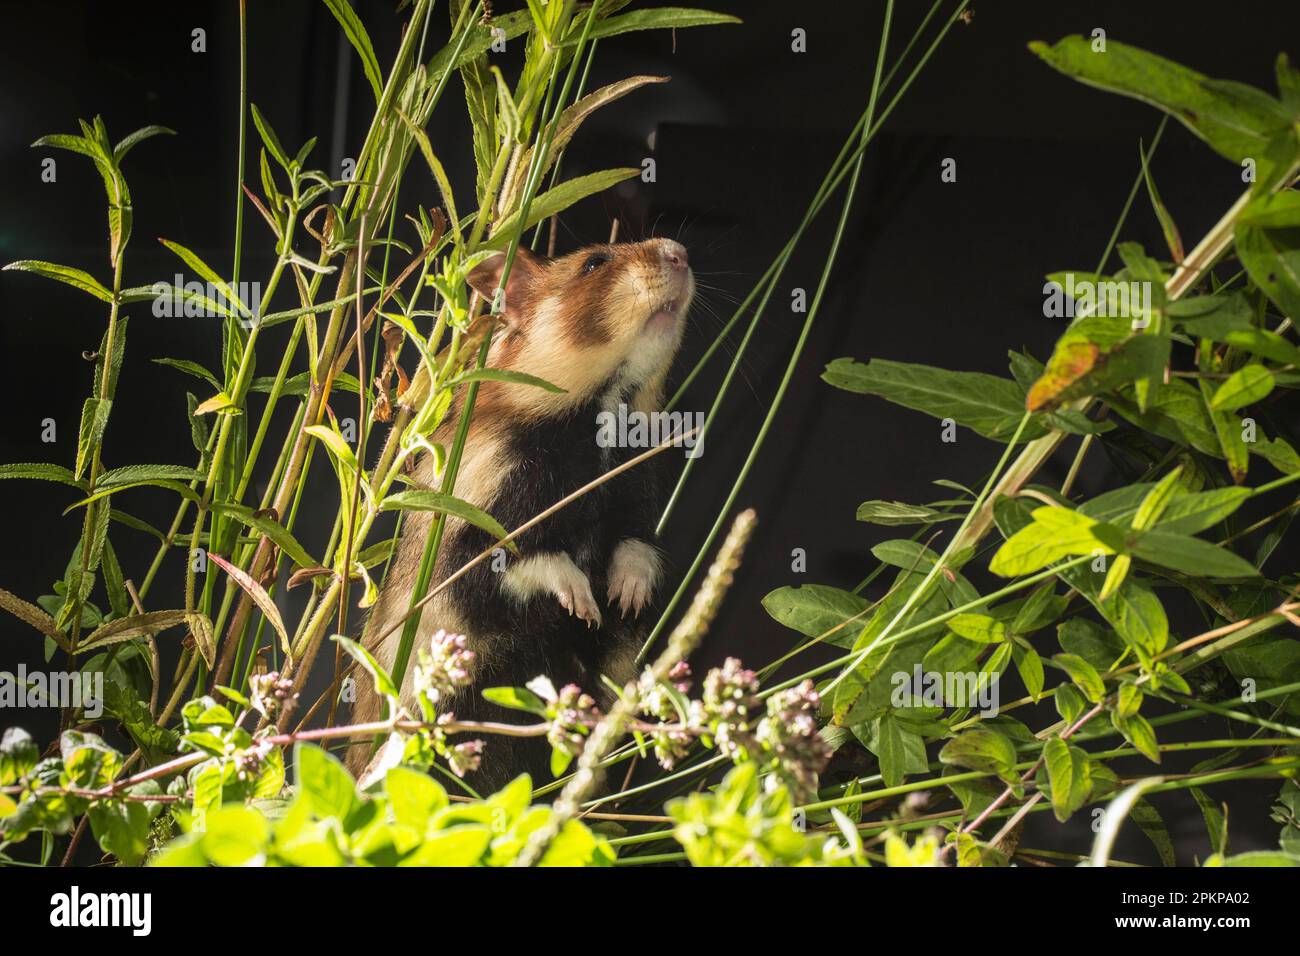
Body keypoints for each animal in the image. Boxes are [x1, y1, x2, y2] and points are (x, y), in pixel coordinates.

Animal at [347, 238, 694, 788]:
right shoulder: (469, 541)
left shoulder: (636, 493)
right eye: (594, 262)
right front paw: (585, 604)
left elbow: (637, 546)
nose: (679, 252)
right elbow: (530, 560)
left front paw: (625, 598)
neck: (601, 416)